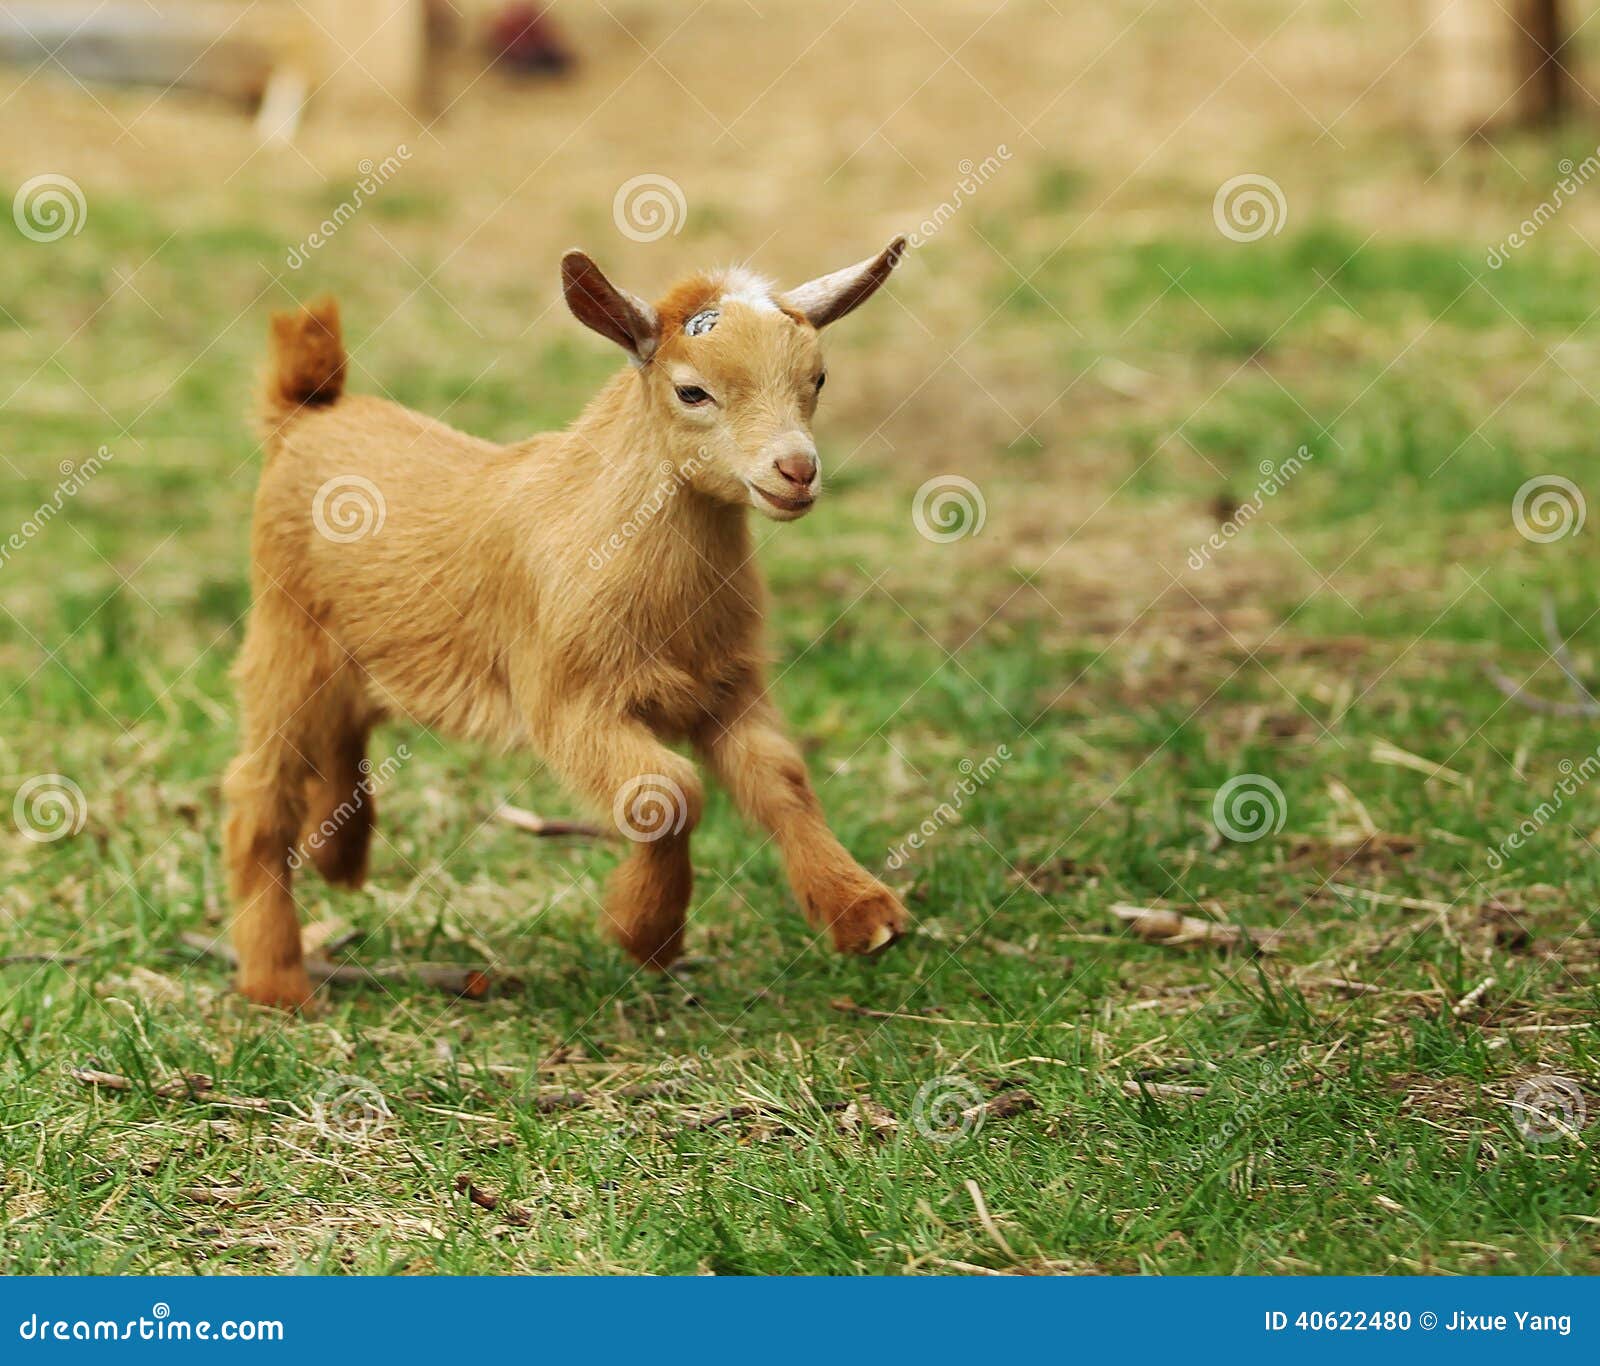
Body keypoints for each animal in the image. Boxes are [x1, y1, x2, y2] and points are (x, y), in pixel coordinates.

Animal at [223, 238, 911, 1008]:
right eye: (692, 391)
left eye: (817, 378)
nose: (796, 470)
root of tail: (305, 413)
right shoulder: (567, 699)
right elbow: (668, 790)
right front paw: (647, 934)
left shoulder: (728, 689)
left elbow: (781, 779)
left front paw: (865, 915)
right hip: (283, 639)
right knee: (256, 796)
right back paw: (277, 981)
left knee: (342, 734)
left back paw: (339, 859)